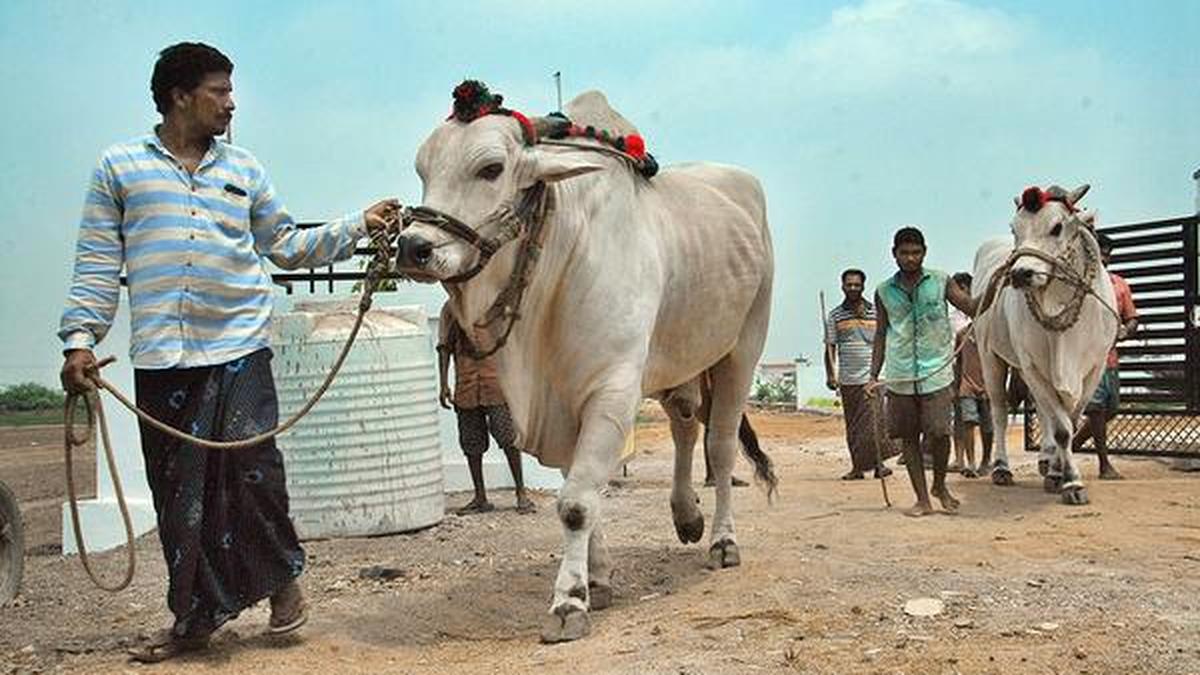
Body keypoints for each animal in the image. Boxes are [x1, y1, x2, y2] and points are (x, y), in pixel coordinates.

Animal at [394, 84, 776, 642]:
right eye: (423, 169)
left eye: (490, 168)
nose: (412, 247)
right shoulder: (561, 407)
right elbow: (582, 489)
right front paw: (597, 579)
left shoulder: (610, 390)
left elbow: (576, 503)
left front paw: (569, 601)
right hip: (678, 359)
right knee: (685, 427)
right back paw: (686, 516)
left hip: (741, 348)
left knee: (721, 447)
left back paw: (722, 541)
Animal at [971, 184, 1118, 505]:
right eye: (1014, 229)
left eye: (1057, 227)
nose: (1019, 273)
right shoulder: (1032, 365)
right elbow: (1062, 429)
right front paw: (1071, 483)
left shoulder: (1094, 369)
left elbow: (1068, 421)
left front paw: (1058, 473)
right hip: (991, 358)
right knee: (1000, 414)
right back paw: (1002, 468)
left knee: (1042, 411)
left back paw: (1047, 462)